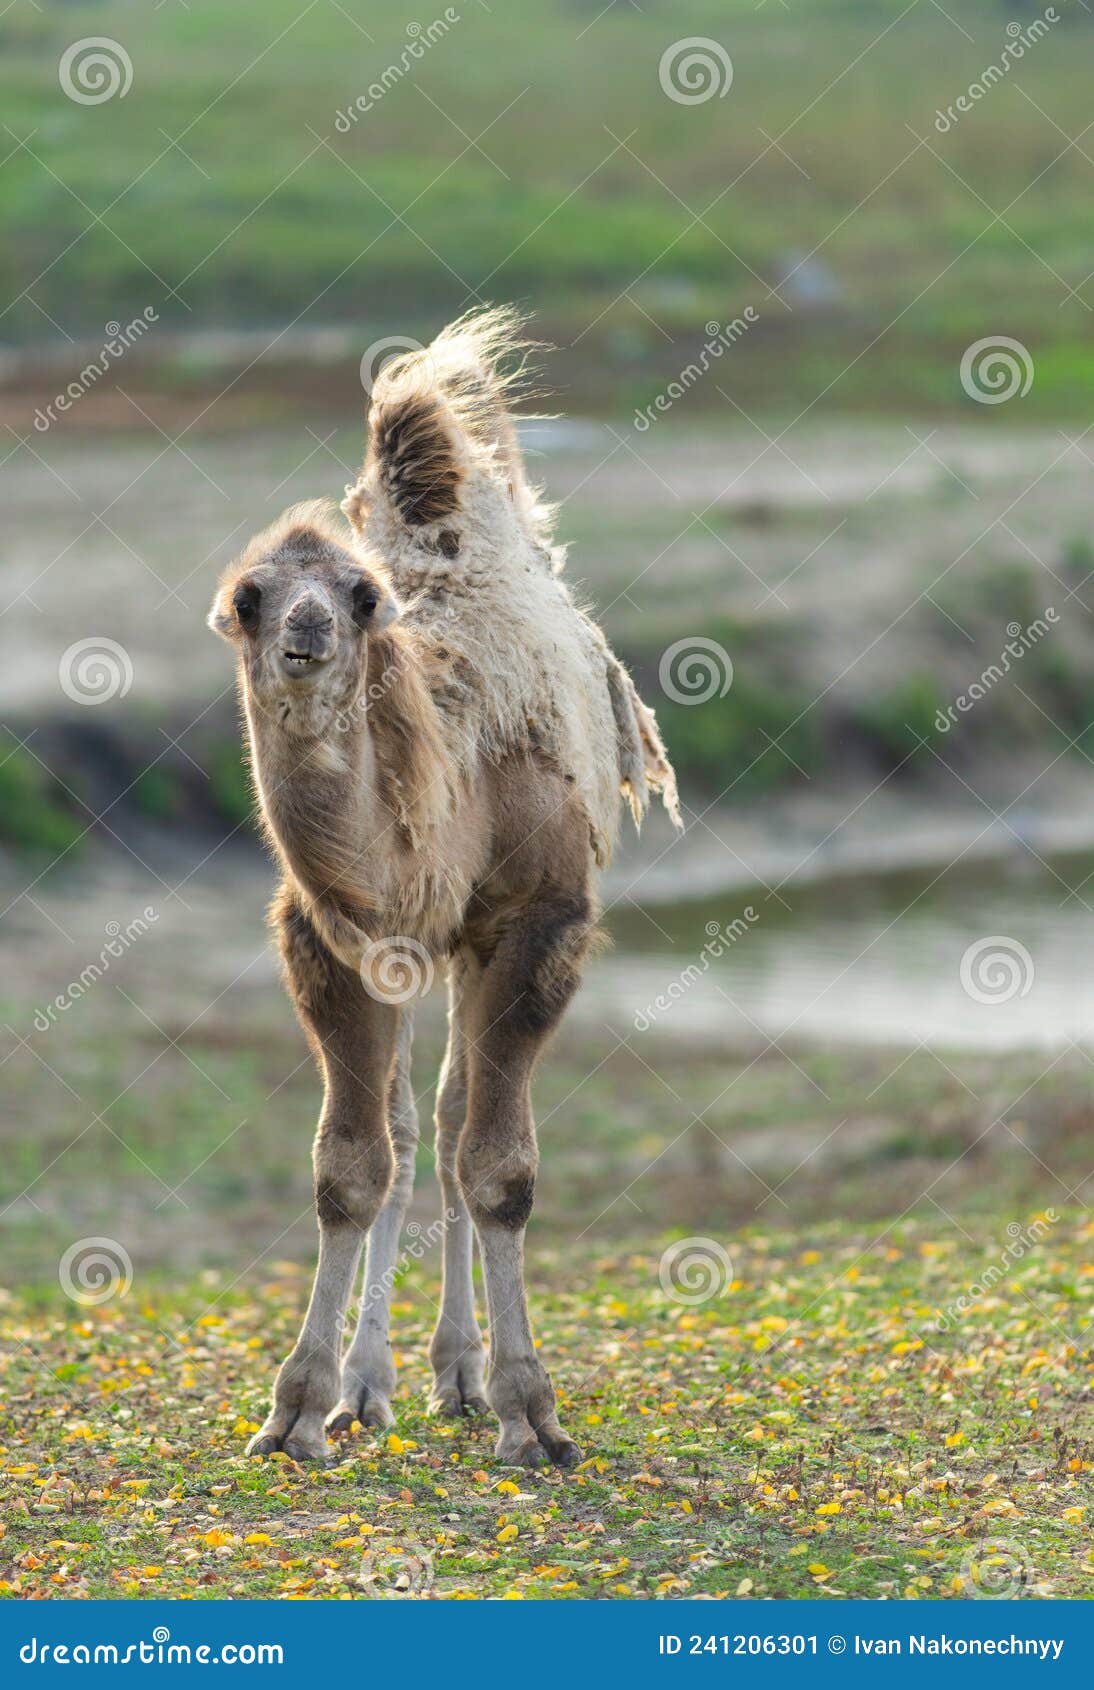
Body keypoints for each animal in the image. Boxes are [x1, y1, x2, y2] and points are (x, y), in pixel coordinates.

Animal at [207, 307, 680, 1468]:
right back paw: (376, 1383)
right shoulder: (335, 938)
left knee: (460, 1114)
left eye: (359, 594)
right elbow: (350, 1166)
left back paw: (462, 1376)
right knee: (416, 1124)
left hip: (469, 945)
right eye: (249, 595)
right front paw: (299, 1407)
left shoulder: (536, 919)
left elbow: (500, 1166)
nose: (307, 632)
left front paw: (531, 1411)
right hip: (417, 952)